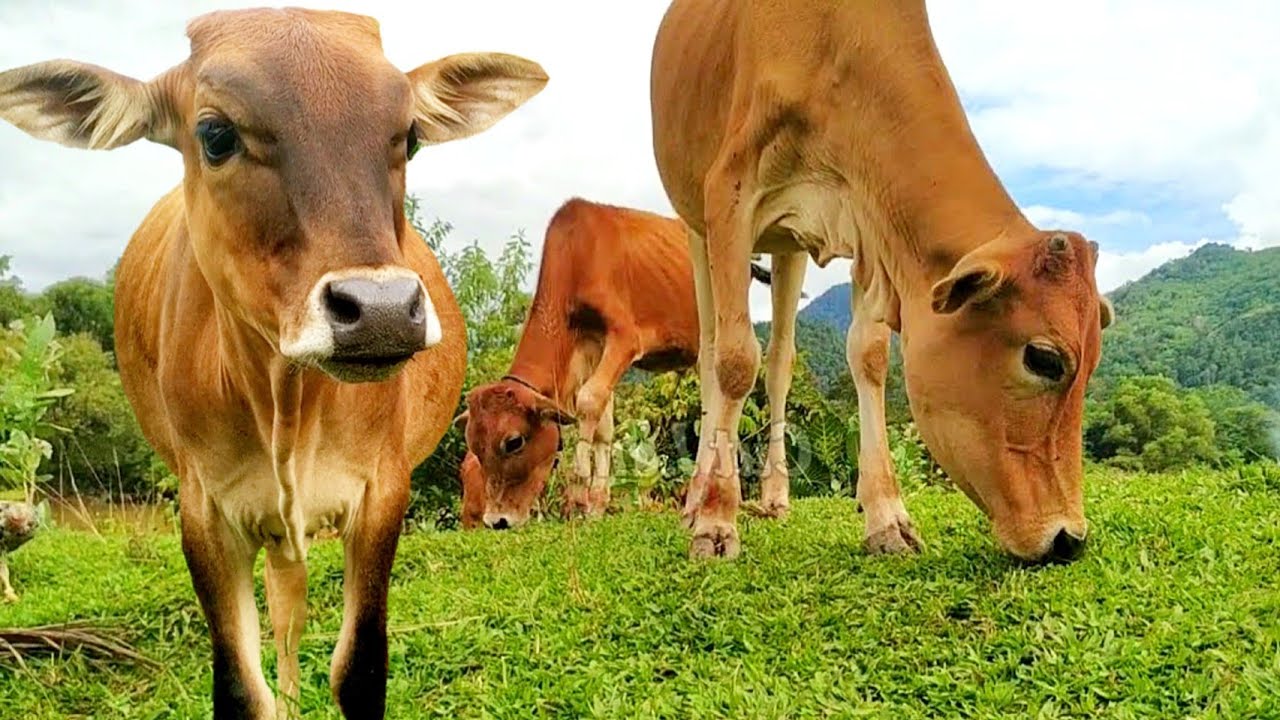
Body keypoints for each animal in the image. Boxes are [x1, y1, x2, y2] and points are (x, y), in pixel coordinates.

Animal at [0, 8, 546, 718]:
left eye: (411, 137)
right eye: (215, 134)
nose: (380, 310)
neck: (287, 398)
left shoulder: (382, 492)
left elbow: (359, 667)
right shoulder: (205, 510)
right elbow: (241, 683)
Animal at [452, 198, 790, 530]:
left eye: (513, 442)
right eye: (473, 455)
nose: (496, 521)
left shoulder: (624, 338)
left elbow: (589, 402)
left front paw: (577, 499)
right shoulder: (588, 348)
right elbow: (602, 424)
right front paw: (597, 503)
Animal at [650, 0, 1114, 563]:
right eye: (1043, 359)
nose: (1068, 538)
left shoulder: (869, 228)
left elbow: (868, 357)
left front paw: (887, 517)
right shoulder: (729, 195)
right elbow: (736, 361)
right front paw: (716, 521)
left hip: (788, 245)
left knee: (780, 361)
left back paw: (775, 497)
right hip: (696, 225)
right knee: (712, 351)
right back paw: (697, 498)